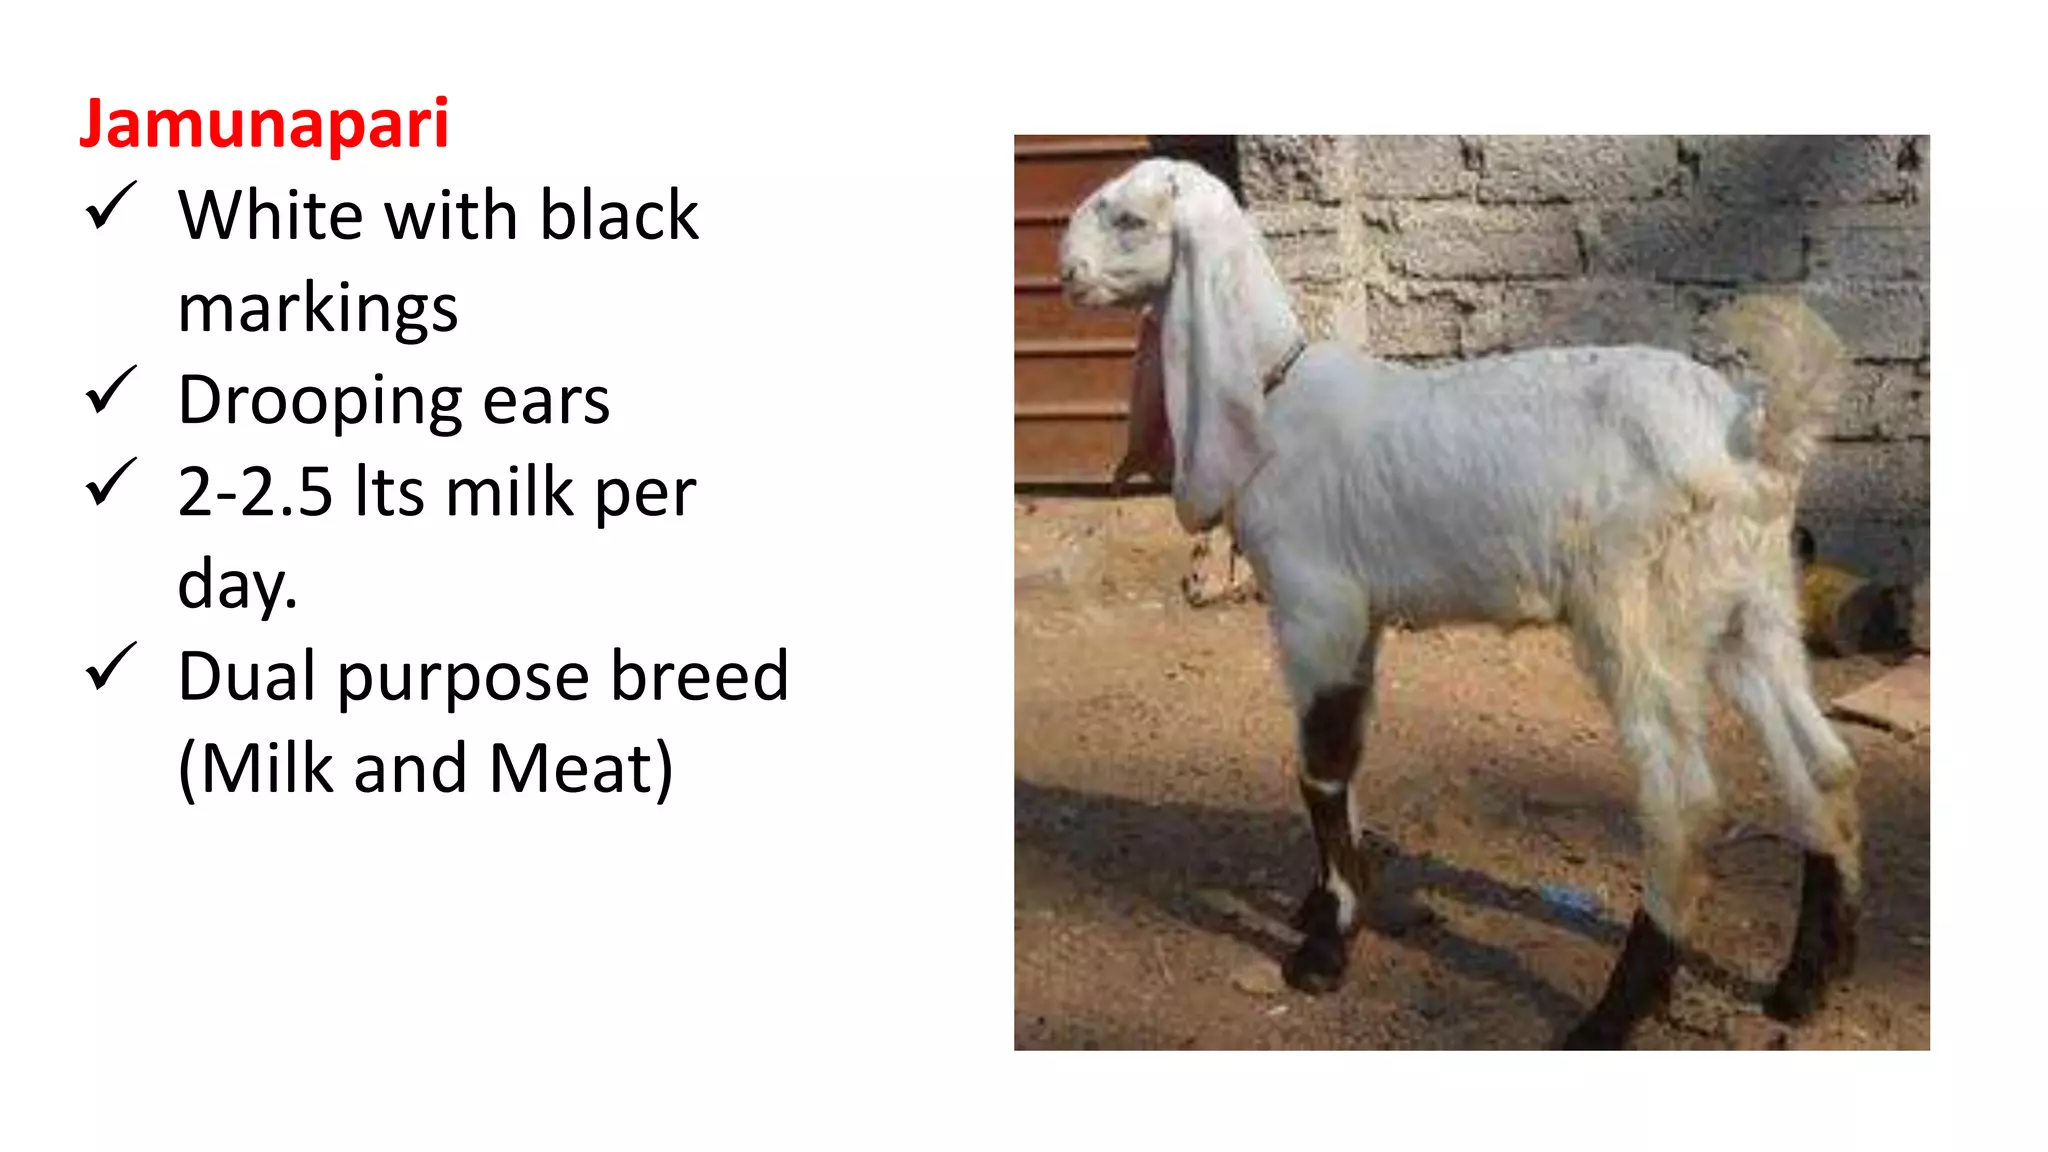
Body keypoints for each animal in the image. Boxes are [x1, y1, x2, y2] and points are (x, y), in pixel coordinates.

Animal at [1058, 157, 1861, 1049]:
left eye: (1130, 219)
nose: (1065, 272)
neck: (1274, 396)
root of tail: (1752, 433)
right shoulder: (1361, 620)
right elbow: (1350, 756)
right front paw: (1327, 900)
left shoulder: (1315, 607)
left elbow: (1319, 771)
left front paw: (1325, 948)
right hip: (1752, 607)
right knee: (1821, 764)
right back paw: (1805, 981)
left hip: (1637, 609)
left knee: (1684, 803)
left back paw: (1613, 1014)